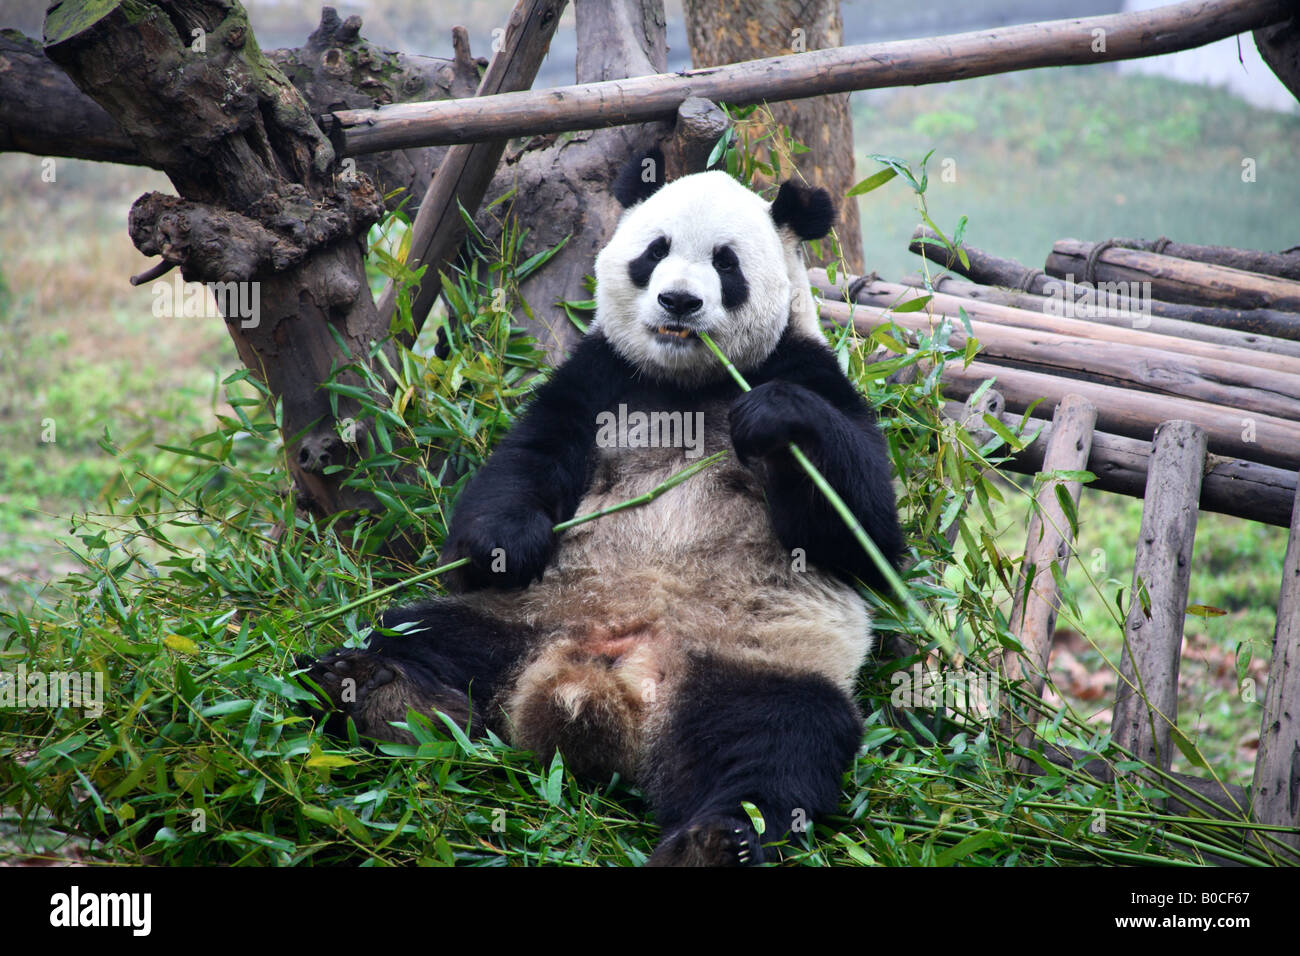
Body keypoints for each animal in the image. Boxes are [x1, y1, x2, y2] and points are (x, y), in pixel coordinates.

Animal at [303, 151, 903, 866]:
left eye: (726, 263)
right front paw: (505, 546)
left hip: (755, 663)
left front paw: (775, 417)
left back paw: (714, 840)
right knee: (423, 634)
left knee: (778, 743)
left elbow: (867, 533)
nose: (679, 301)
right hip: (519, 620)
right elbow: (523, 461)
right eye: (656, 251)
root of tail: (603, 690)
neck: (687, 382)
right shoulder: (597, 377)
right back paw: (380, 691)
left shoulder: (808, 368)